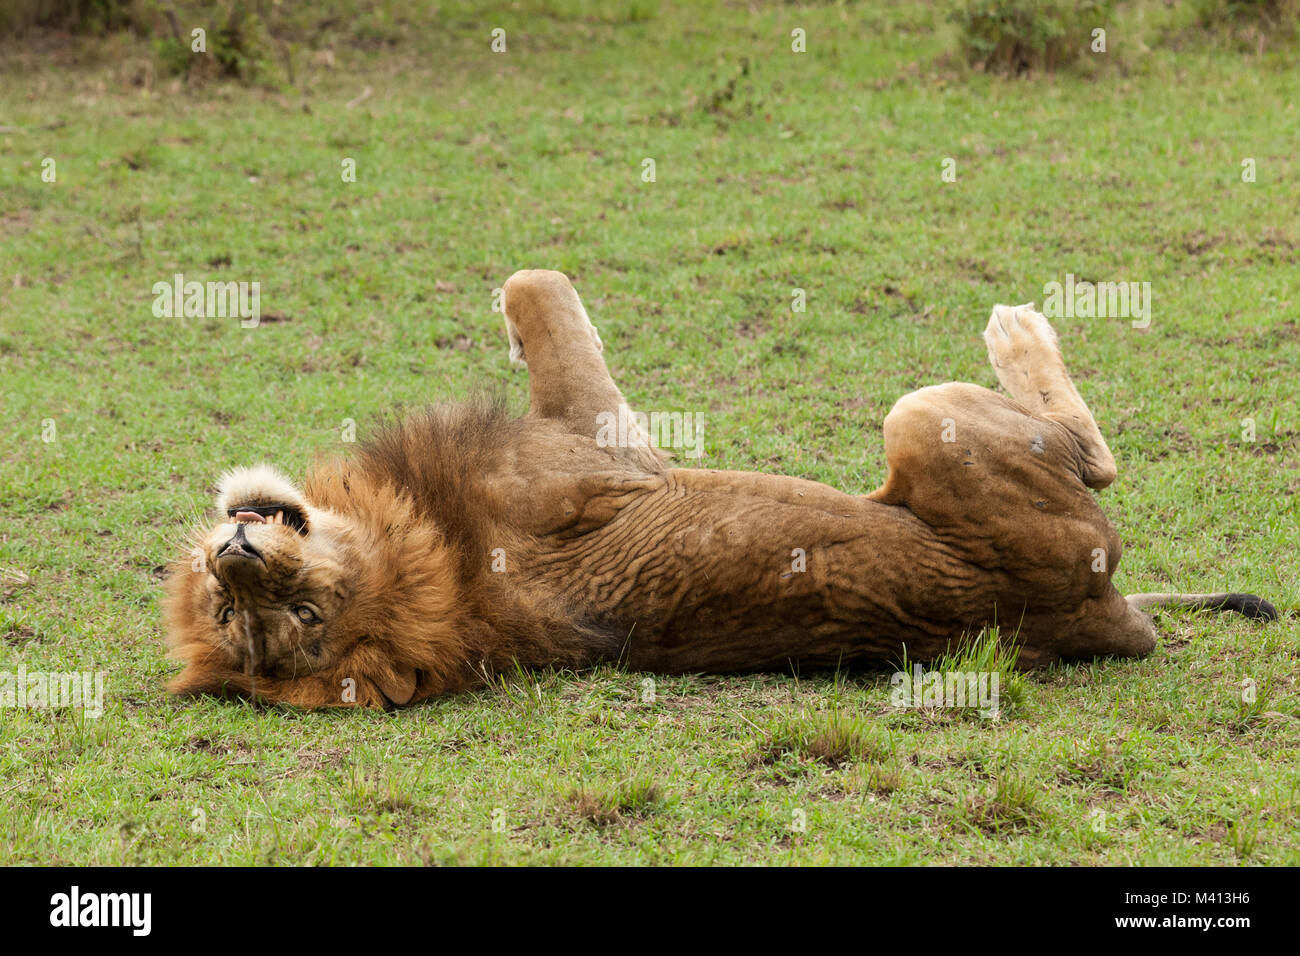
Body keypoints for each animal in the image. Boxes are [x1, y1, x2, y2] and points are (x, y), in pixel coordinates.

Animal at [162, 270, 1278, 709]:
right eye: (266, 618)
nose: (238, 552)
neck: (431, 557)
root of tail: (1099, 616)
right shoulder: (605, 441)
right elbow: (539, 291)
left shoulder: (613, 447)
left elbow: (532, 288)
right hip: (921, 423)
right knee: (1092, 455)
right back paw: (1016, 327)